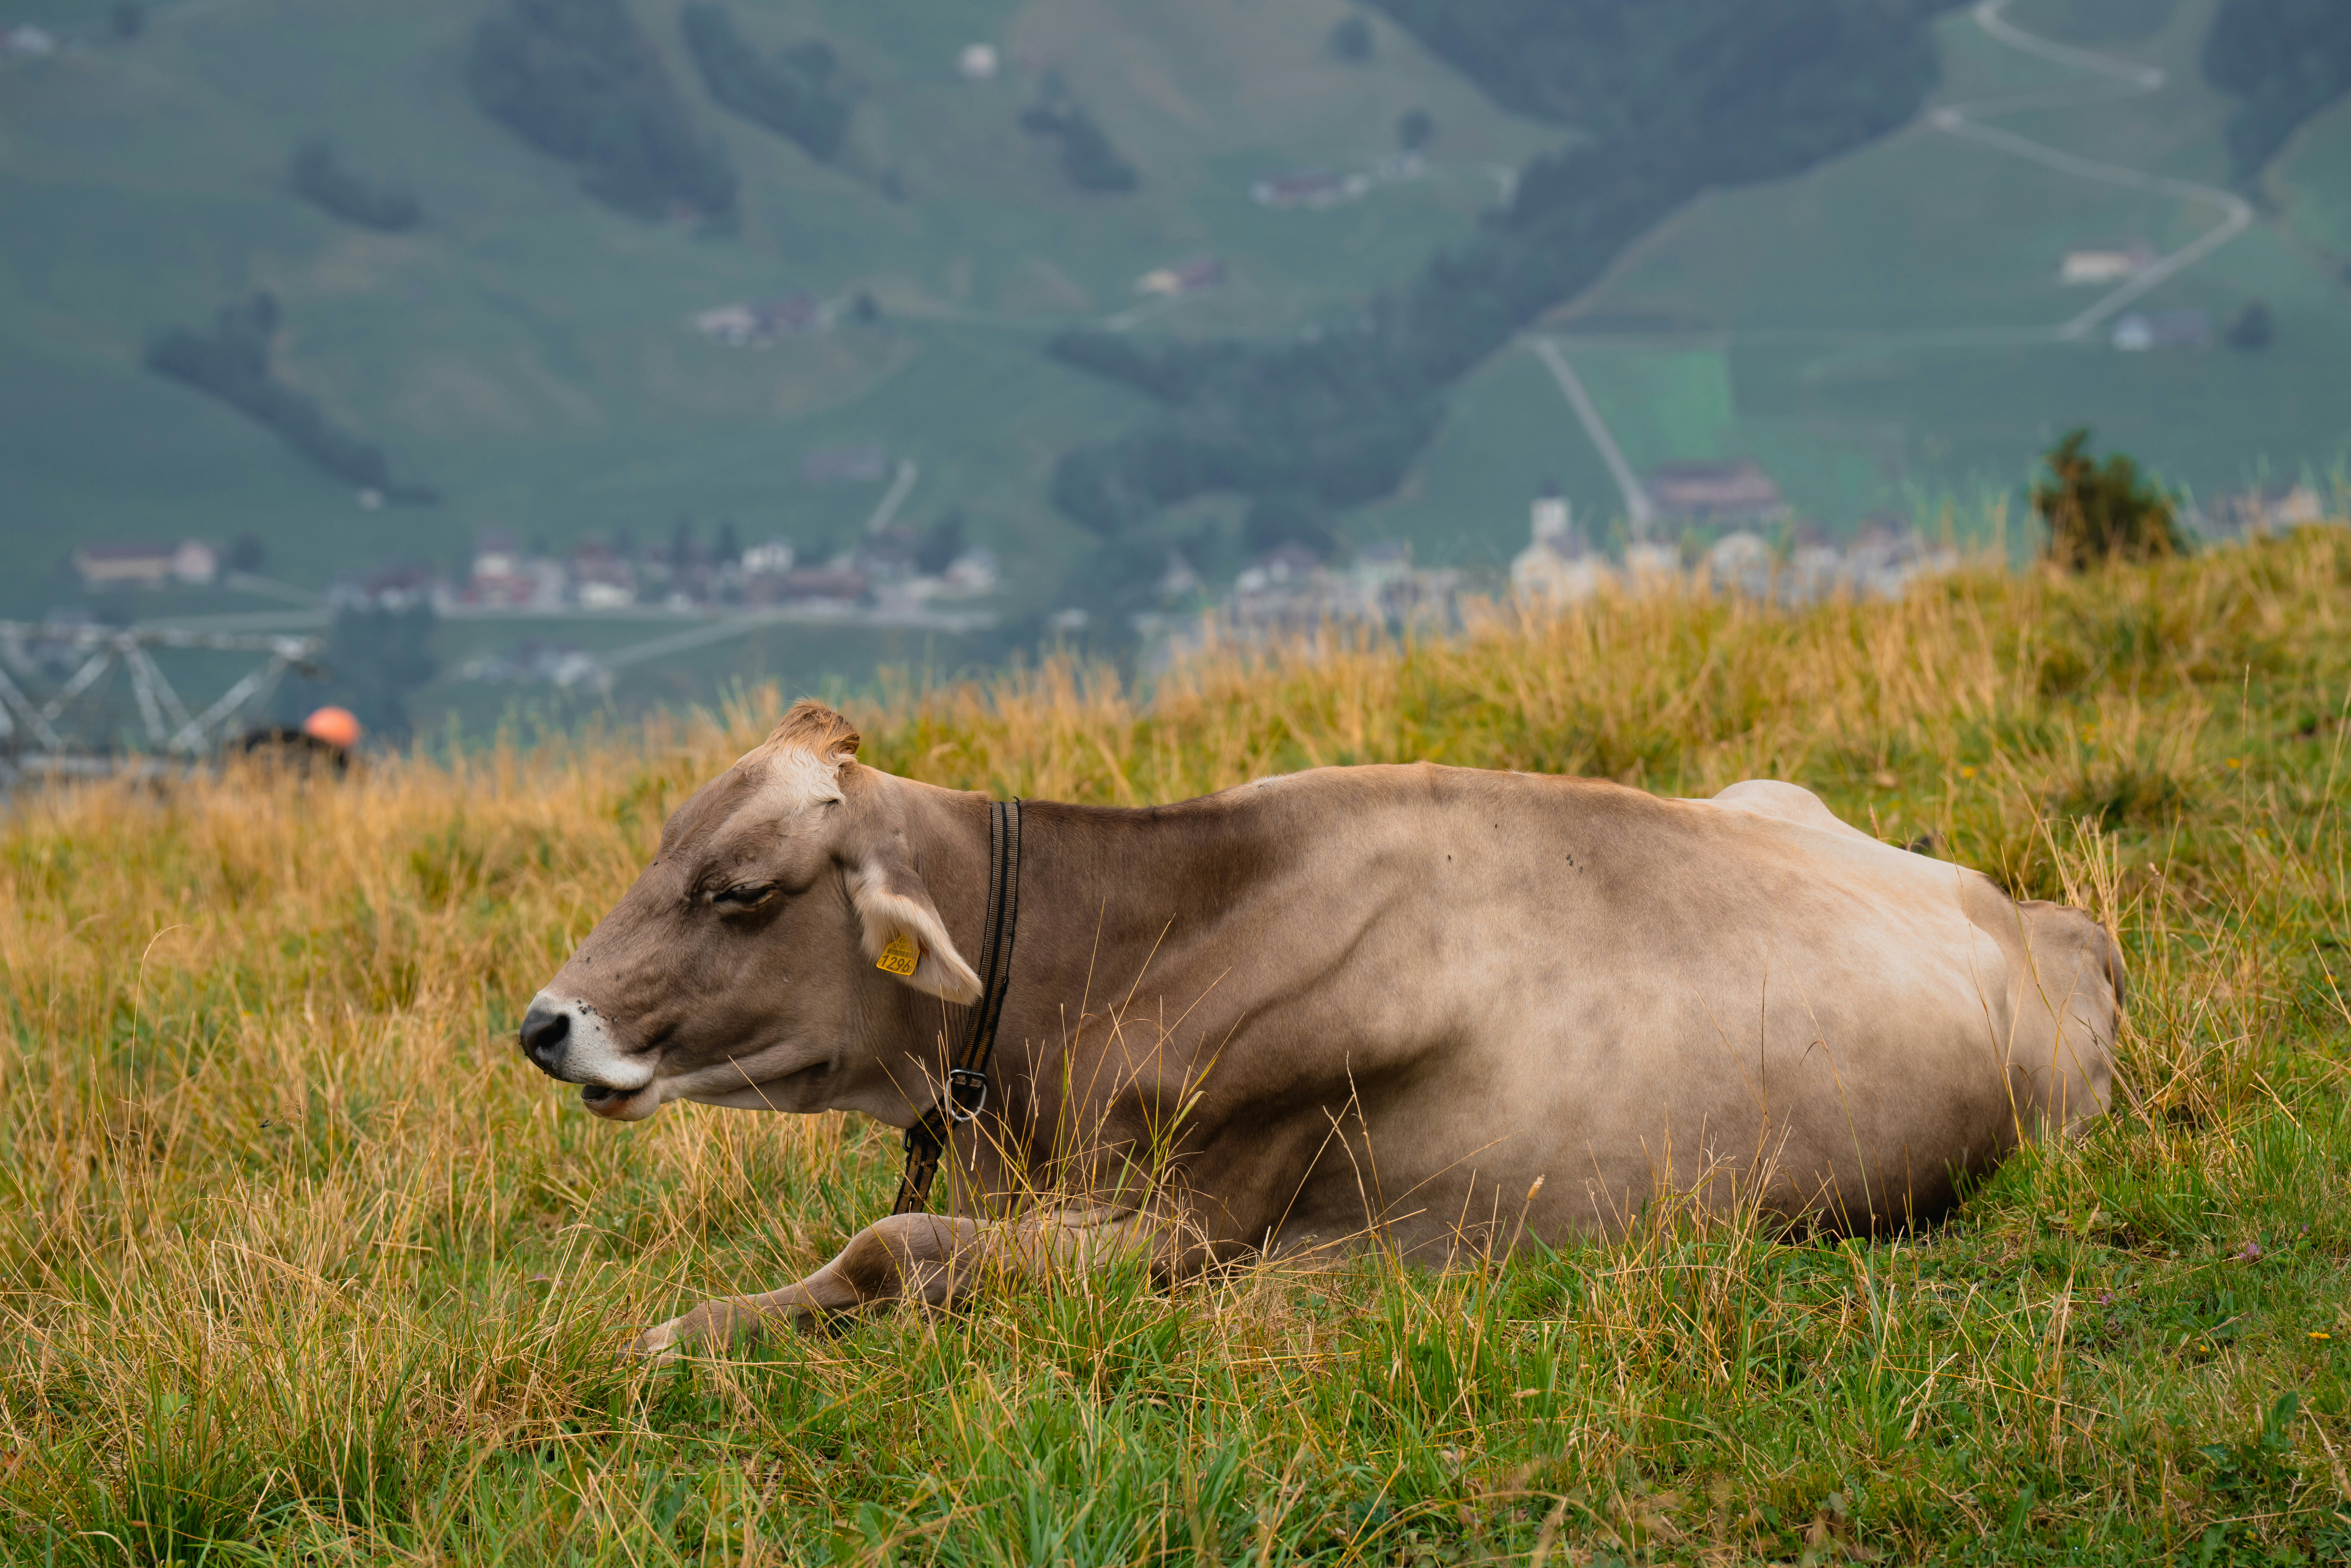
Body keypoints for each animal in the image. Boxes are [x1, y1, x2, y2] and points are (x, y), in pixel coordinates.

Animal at [518, 701, 2120, 1355]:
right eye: (661, 842)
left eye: (738, 891)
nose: (543, 1022)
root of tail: (2041, 916)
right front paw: (688, 1332)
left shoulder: (1198, 1221)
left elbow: (892, 1243)